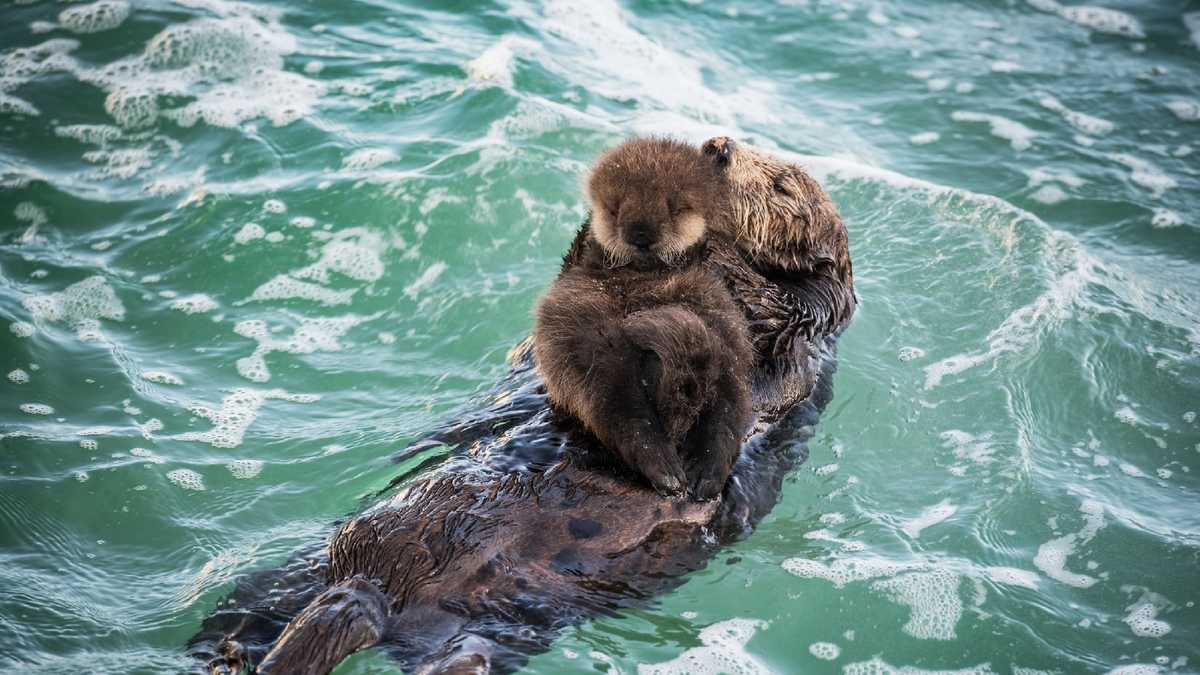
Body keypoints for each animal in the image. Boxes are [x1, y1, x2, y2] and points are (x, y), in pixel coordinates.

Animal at [533, 137, 754, 500]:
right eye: (614, 208)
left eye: (674, 207)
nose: (640, 233)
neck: (643, 277)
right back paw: (679, 472)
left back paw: (697, 474)